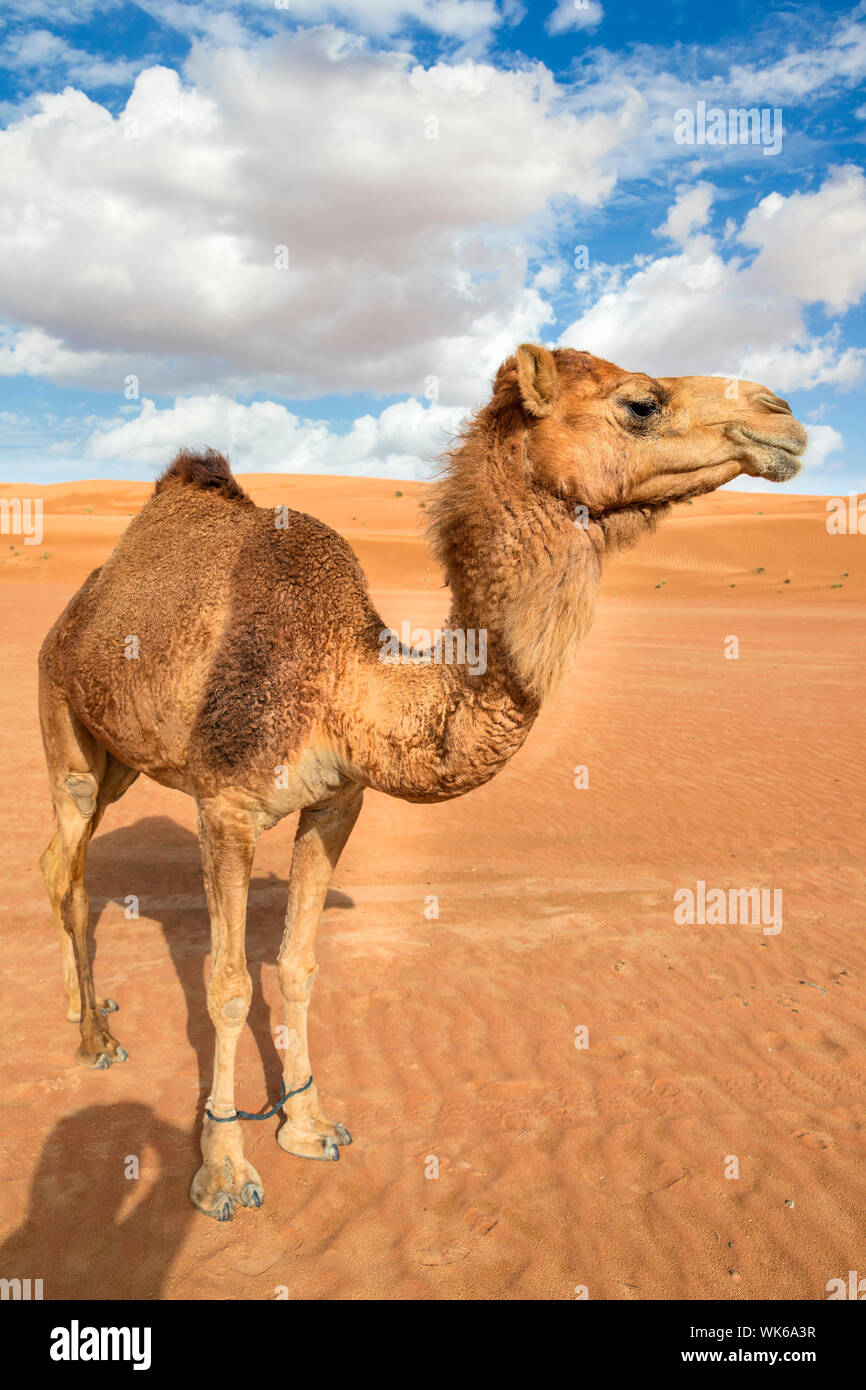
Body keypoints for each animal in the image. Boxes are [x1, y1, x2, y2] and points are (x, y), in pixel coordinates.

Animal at [38, 344, 806, 1220]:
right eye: (641, 403)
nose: (782, 415)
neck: (348, 681)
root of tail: (76, 610)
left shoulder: (336, 804)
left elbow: (297, 965)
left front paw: (308, 1124)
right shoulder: (226, 807)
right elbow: (228, 985)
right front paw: (224, 1170)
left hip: (124, 762)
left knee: (64, 861)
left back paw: (88, 1008)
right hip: (66, 726)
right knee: (67, 864)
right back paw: (94, 1038)